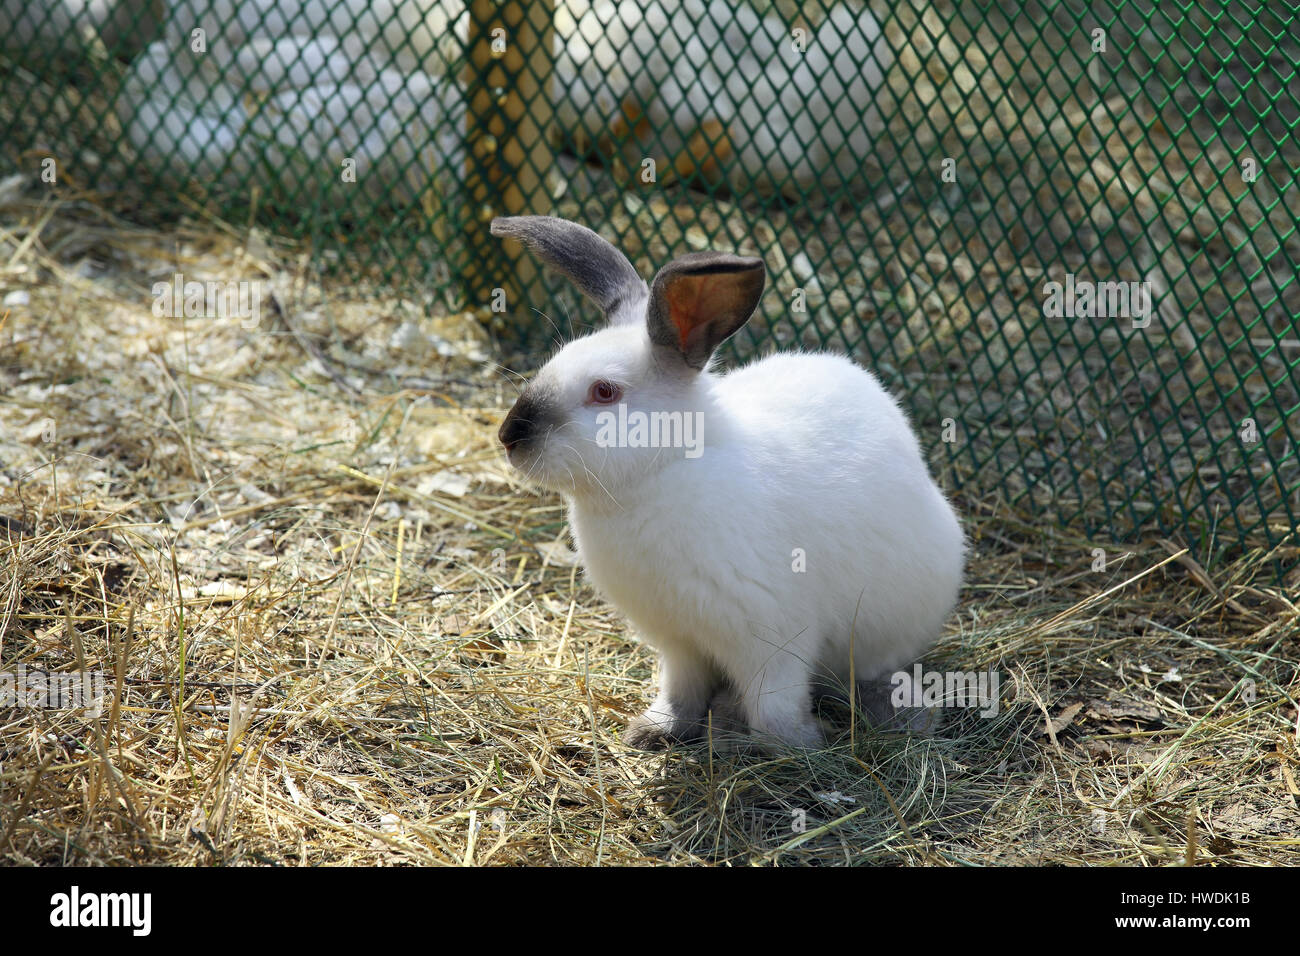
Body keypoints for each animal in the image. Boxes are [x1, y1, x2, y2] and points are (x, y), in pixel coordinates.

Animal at [493, 216, 965, 749]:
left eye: (605, 392)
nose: (509, 437)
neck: (664, 470)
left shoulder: (773, 639)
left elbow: (773, 708)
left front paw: (800, 744)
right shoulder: (678, 642)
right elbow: (681, 691)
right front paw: (654, 730)